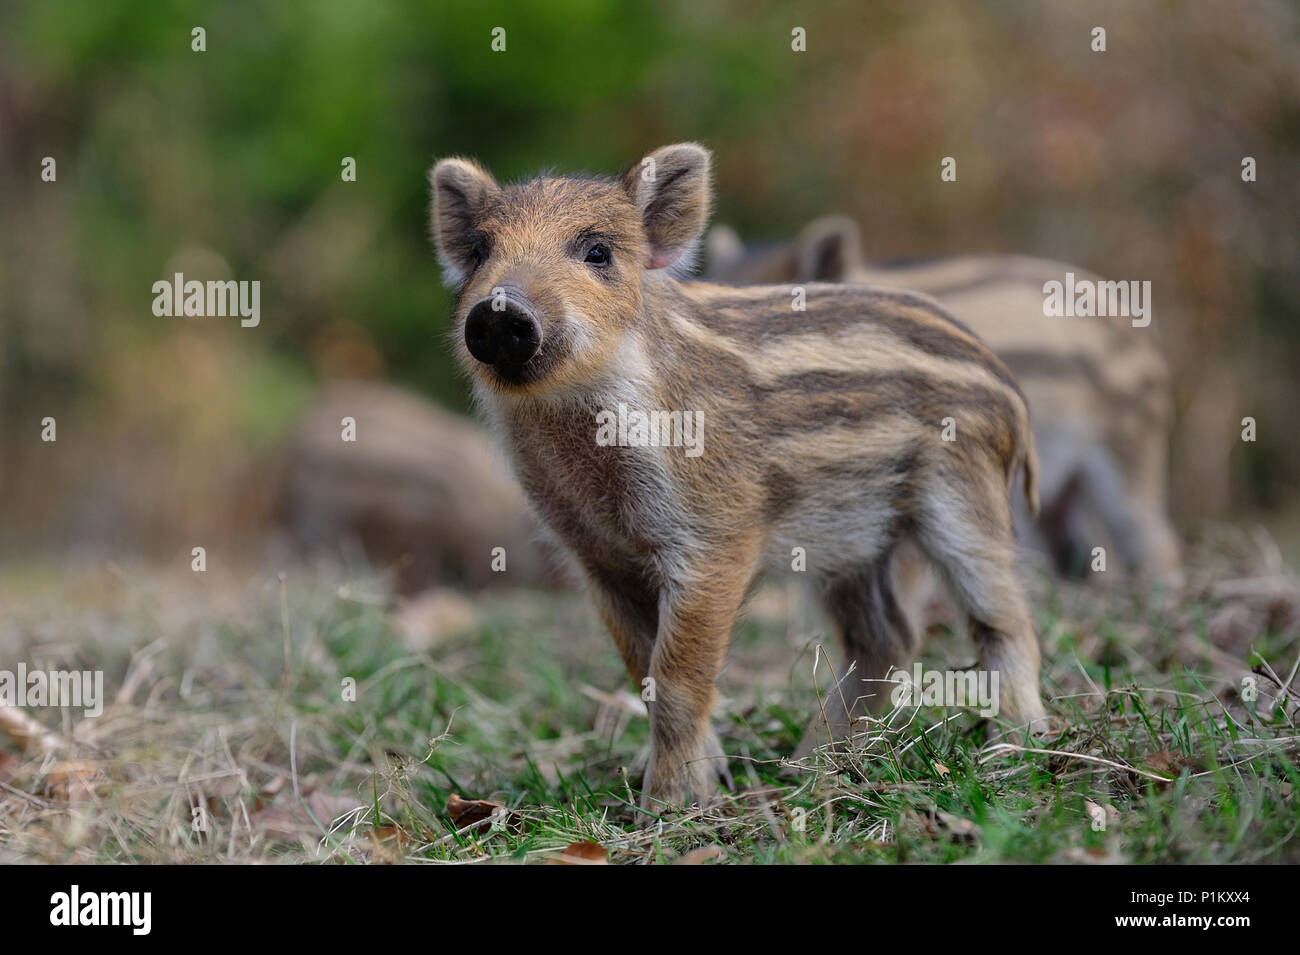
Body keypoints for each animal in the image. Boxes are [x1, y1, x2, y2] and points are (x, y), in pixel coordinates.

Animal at [429, 144, 1047, 808]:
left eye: (596, 252)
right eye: (481, 251)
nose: (500, 312)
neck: (573, 420)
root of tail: (1008, 385)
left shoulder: (713, 537)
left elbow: (677, 678)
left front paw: (668, 806)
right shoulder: (597, 556)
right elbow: (643, 671)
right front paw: (707, 783)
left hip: (963, 494)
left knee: (1003, 619)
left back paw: (1016, 749)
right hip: (854, 541)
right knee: (887, 640)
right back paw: (808, 768)